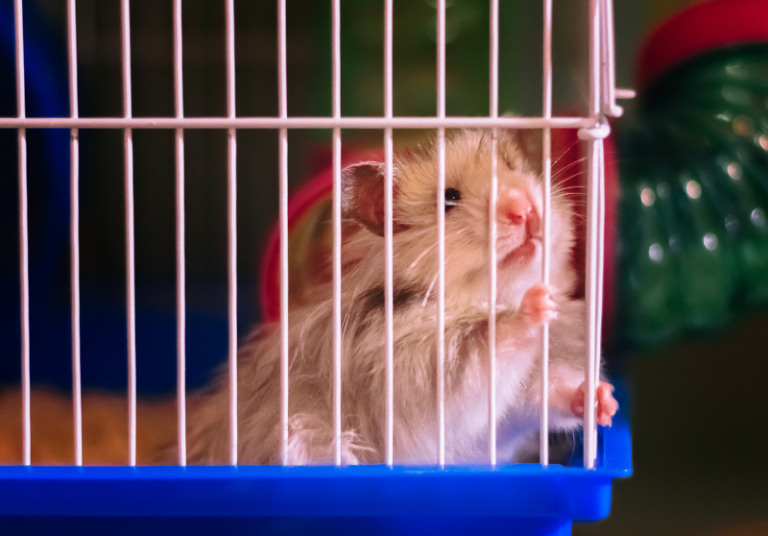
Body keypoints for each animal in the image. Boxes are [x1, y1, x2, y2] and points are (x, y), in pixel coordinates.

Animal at [181, 129, 618, 465]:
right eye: (449, 198)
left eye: (514, 167)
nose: (525, 209)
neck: (485, 293)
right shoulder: (423, 369)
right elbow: (487, 345)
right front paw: (537, 304)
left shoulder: (526, 391)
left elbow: (551, 393)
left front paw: (605, 402)